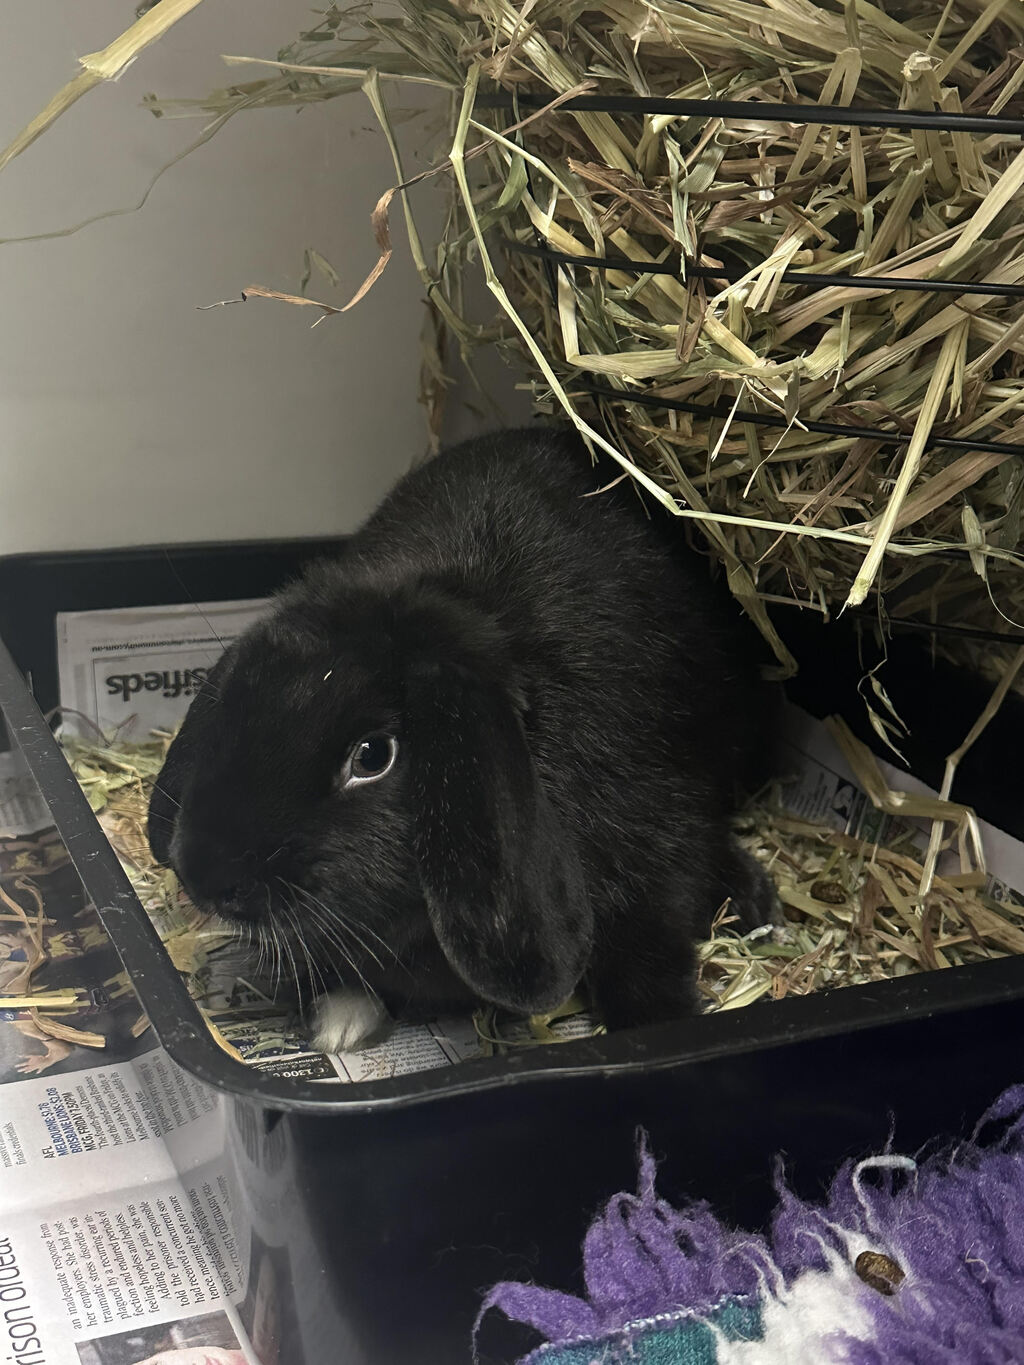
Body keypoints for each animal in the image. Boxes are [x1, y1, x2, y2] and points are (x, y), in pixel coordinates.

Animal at [148, 426, 776, 1053]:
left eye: (372, 756)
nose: (204, 876)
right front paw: (339, 1022)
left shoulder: (656, 851)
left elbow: (649, 960)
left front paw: (660, 1028)